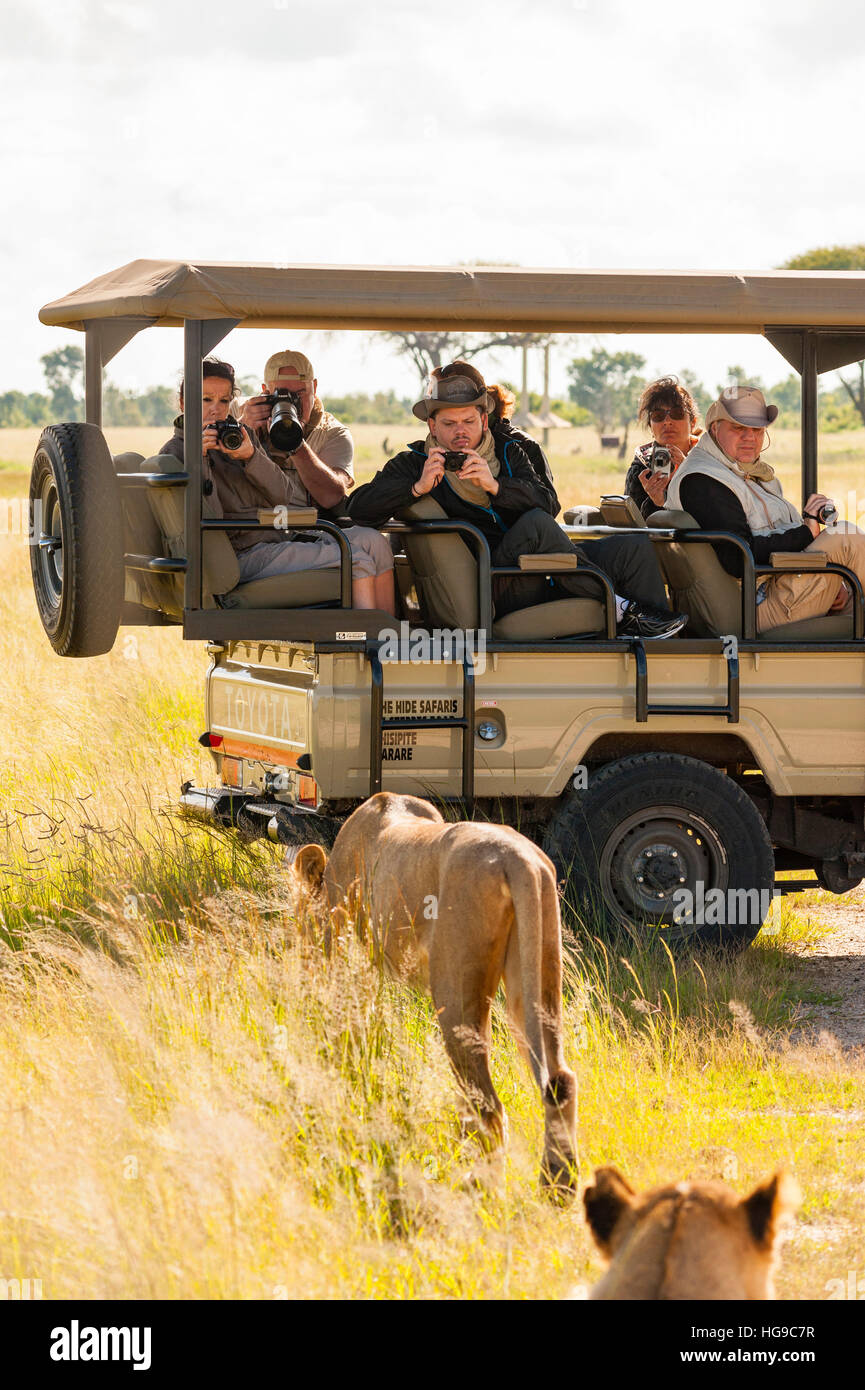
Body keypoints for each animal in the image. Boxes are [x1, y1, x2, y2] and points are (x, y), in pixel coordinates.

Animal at [291, 791, 578, 1196]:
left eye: (300, 920)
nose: (301, 964)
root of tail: (519, 858)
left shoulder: (355, 955)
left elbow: (355, 1025)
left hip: (455, 989)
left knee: (489, 1106)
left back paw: (479, 1190)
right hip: (536, 976)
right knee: (559, 1080)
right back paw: (557, 1187)